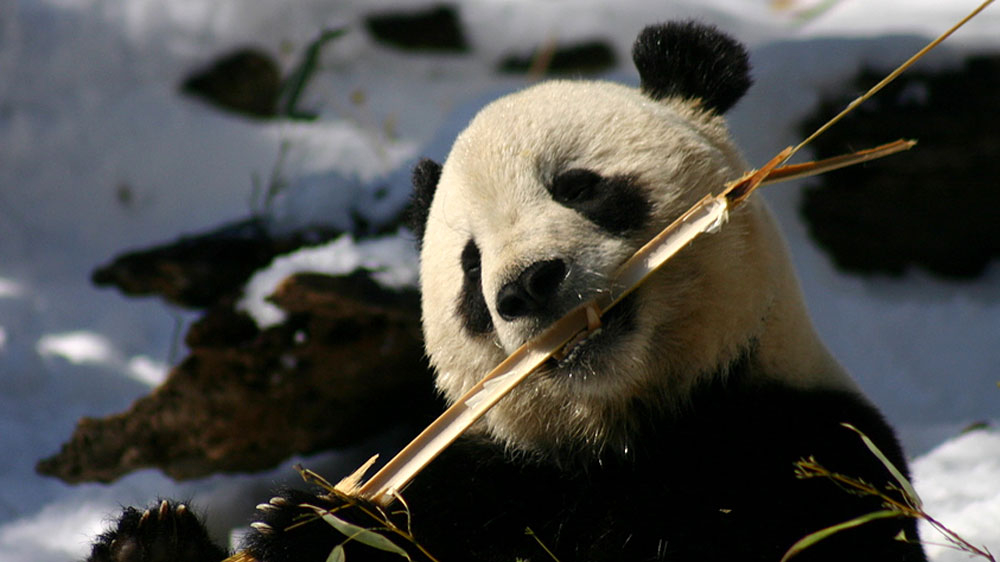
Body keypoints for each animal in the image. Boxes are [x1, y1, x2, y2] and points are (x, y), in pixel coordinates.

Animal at [87, 21, 927, 562]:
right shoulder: (488, 483)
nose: (528, 284)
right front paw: (197, 534)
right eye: (469, 265)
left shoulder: (807, 452)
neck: (622, 434)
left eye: (580, 187)